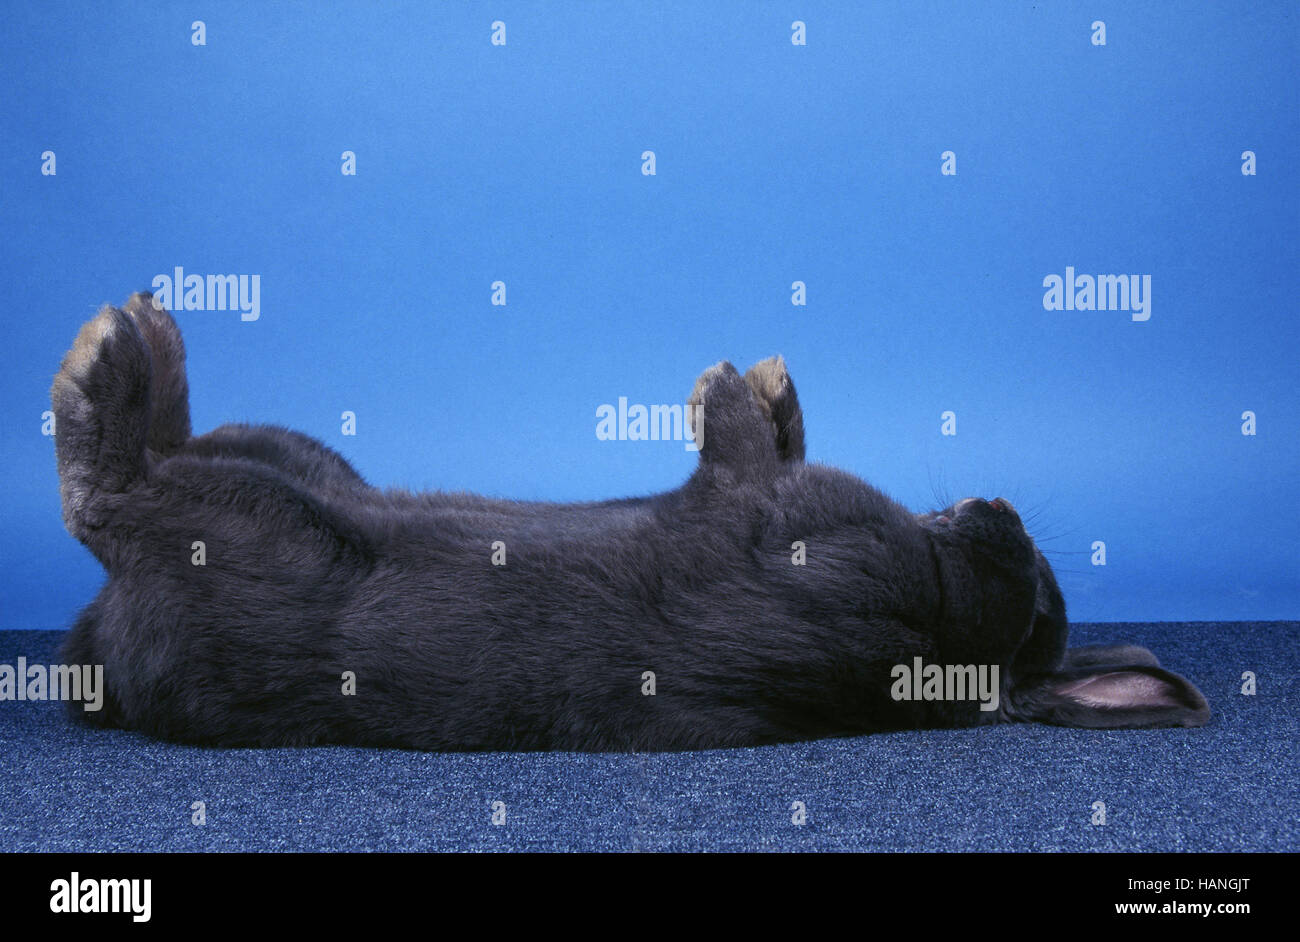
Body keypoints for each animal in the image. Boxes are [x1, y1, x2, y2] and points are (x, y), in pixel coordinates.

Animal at [51, 293, 1209, 750]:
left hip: (253, 527)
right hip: (294, 461)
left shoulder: (789, 526)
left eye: (1033, 588)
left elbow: (743, 460)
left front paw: (733, 388)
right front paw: (772, 385)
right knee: (177, 447)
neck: (941, 622)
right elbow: (771, 442)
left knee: (110, 495)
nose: (1000, 508)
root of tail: (96, 652)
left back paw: (107, 362)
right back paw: (149, 338)